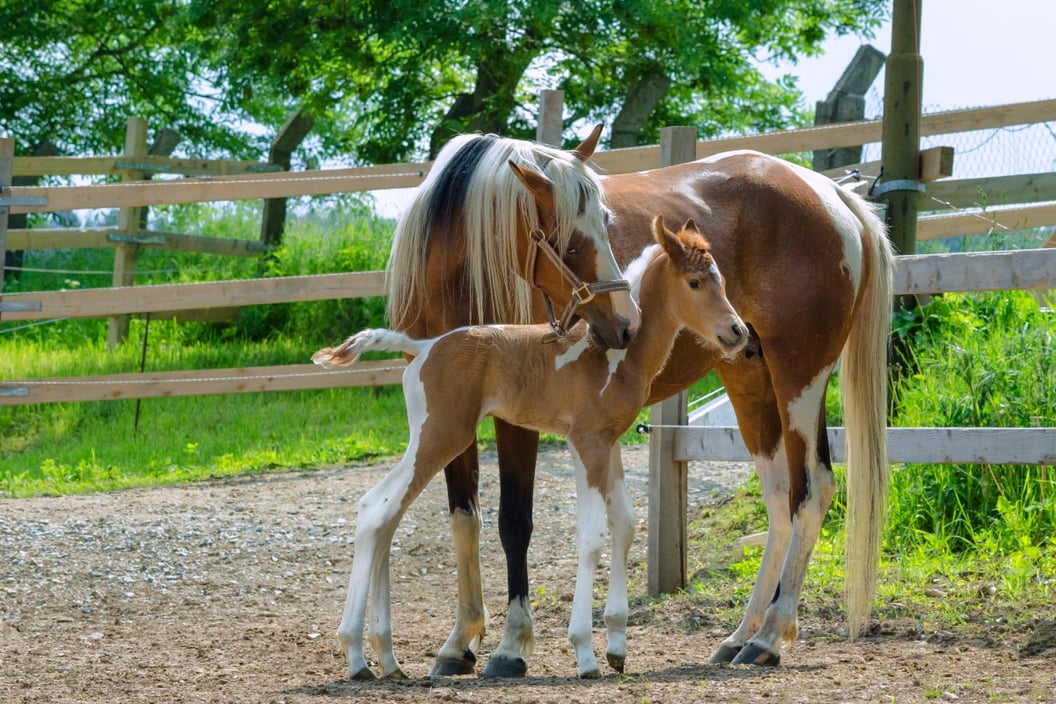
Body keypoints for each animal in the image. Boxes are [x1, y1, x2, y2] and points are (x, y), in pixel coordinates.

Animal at [314, 216, 749, 679]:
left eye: (721, 280)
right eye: (695, 282)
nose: (738, 332)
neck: (613, 354)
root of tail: (424, 347)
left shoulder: (609, 443)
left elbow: (626, 525)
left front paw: (617, 645)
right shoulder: (586, 443)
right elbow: (591, 536)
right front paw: (585, 654)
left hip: (430, 438)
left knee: (382, 514)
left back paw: (386, 657)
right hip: (442, 436)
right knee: (377, 511)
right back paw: (358, 656)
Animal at [385, 126, 894, 675]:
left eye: (607, 224)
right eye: (569, 240)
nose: (625, 320)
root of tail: (830, 192)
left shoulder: (514, 421)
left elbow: (514, 522)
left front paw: (511, 646)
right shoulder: (448, 408)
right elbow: (465, 518)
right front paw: (459, 643)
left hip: (800, 376)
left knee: (813, 490)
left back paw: (770, 638)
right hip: (749, 378)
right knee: (781, 499)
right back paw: (740, 636)